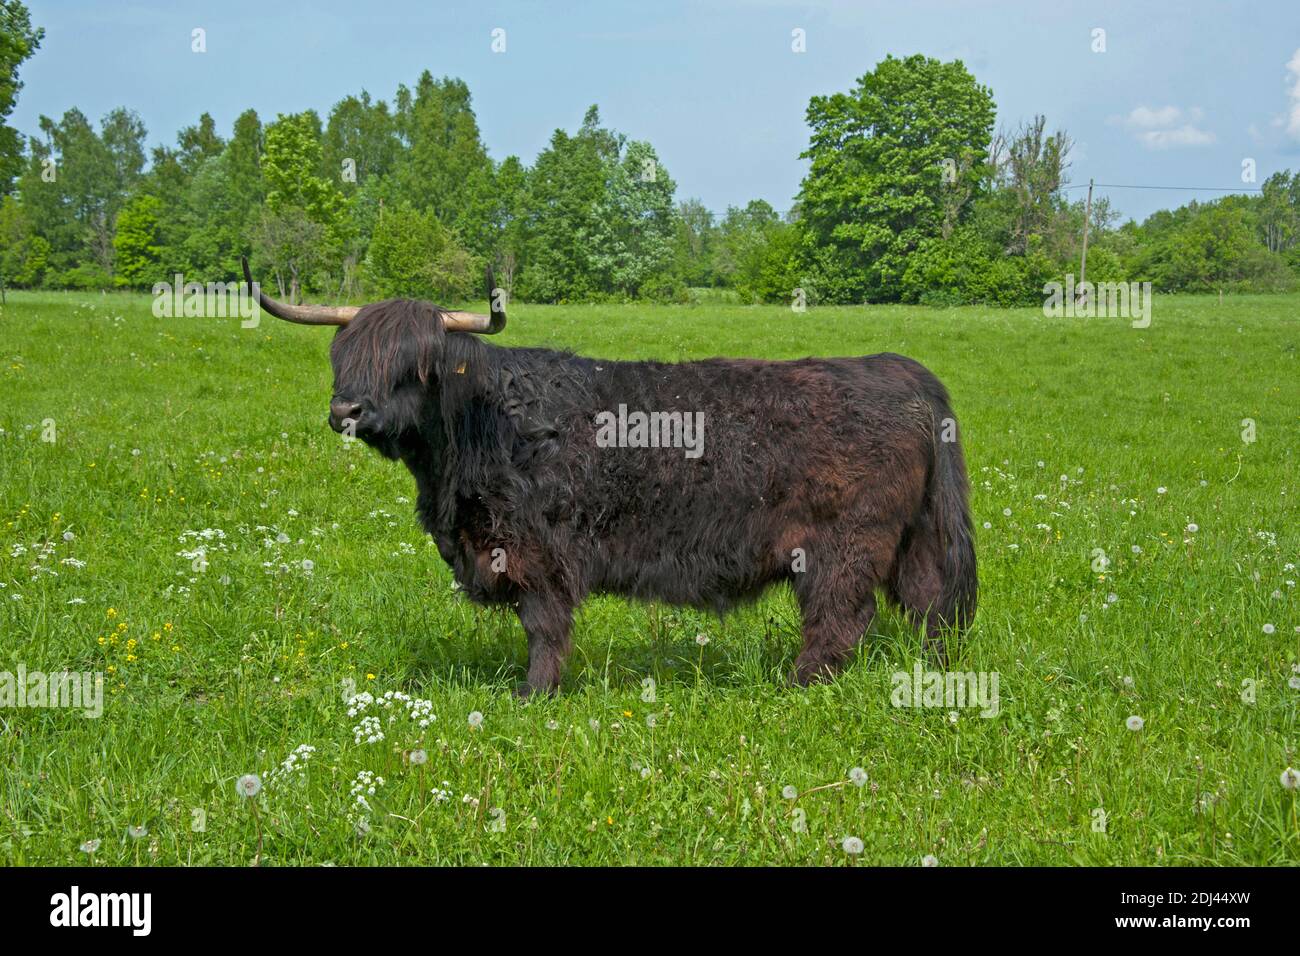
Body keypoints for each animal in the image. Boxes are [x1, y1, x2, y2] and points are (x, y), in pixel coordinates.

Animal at [242, 258, 976, 696]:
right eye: (343, 357)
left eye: (410, 366)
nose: (346, 410)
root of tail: (900, 369)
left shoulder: (536, 550)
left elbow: (543, 627)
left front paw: (533, 693)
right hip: (911, 538)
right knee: (929, 604)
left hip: (843, 545)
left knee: (842, 616)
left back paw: (798, 686)